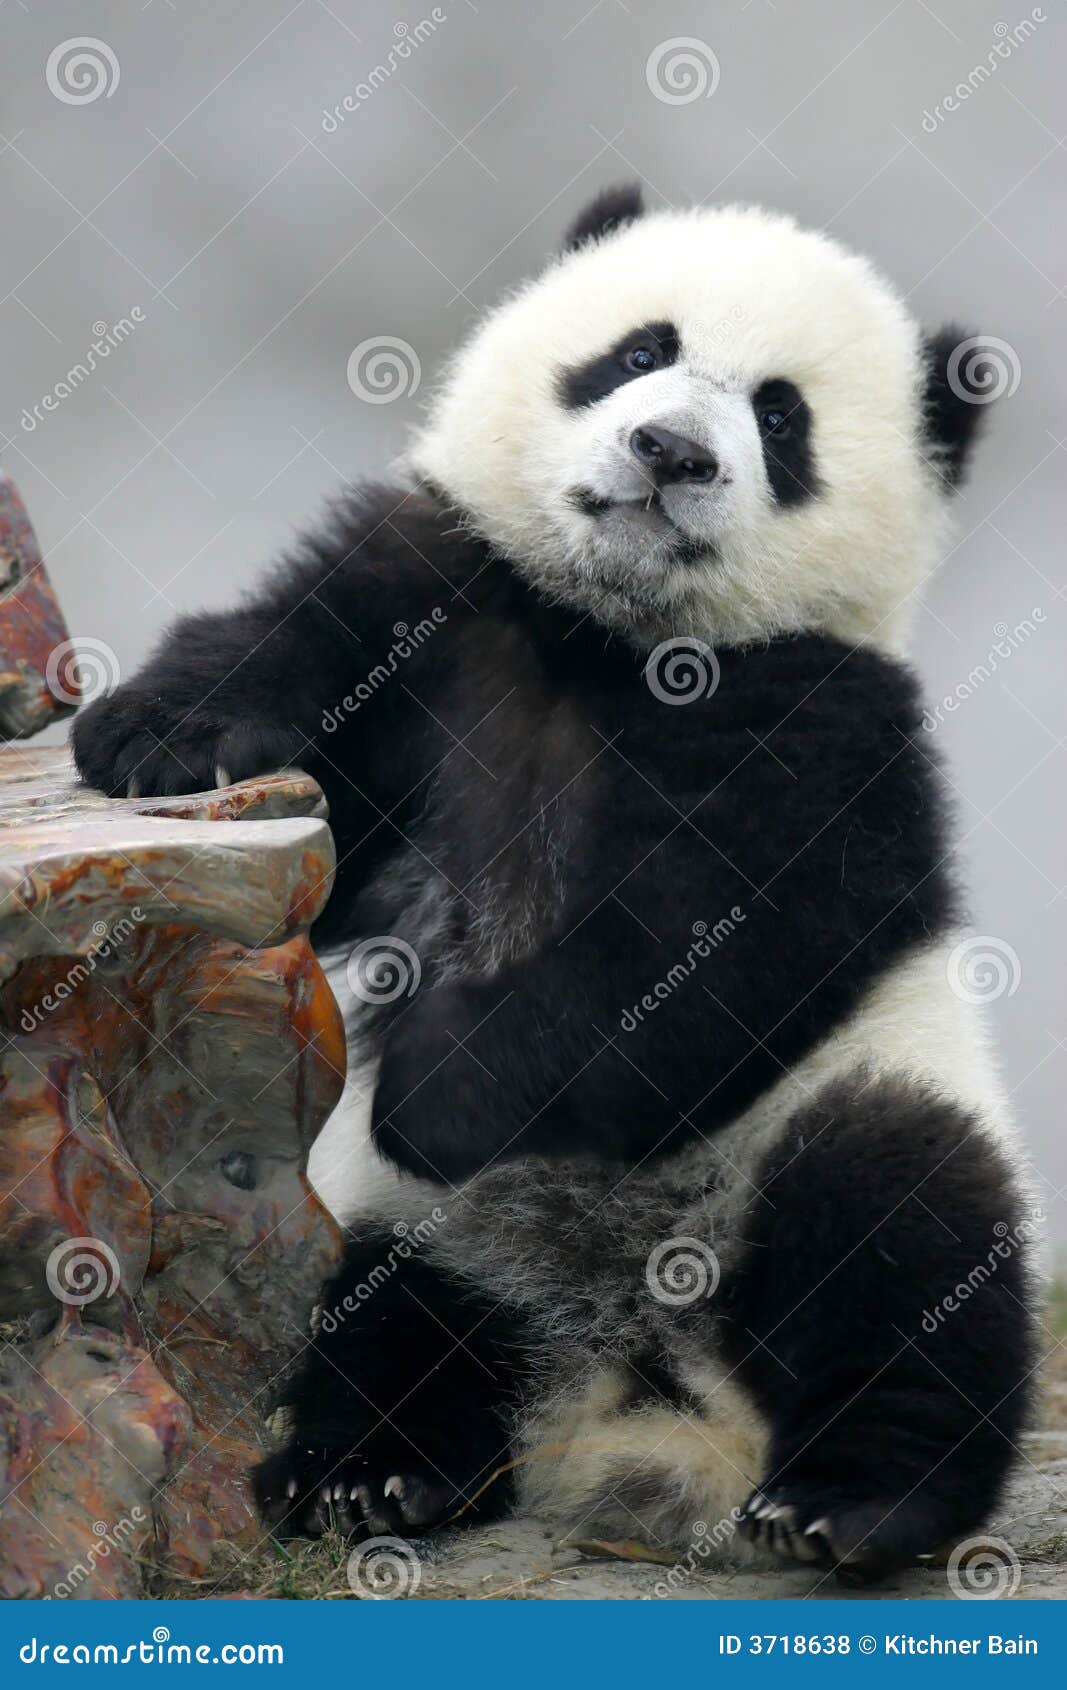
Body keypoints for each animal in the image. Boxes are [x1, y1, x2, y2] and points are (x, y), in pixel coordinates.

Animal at [72, 185, 1041, 1584]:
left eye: (778, 417)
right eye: (639, 350)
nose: (667, 450)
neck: (607, 636)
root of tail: (637, 1396)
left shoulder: (821, 723)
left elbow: (692, 954)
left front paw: (434, 1086)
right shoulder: (450, 598)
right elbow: (303, 657)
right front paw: (157, 732)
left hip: (844, 1112)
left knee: (903, 1235)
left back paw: (847, 1500)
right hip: (416, 1230)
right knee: (393, 1317)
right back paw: (370, 1469)